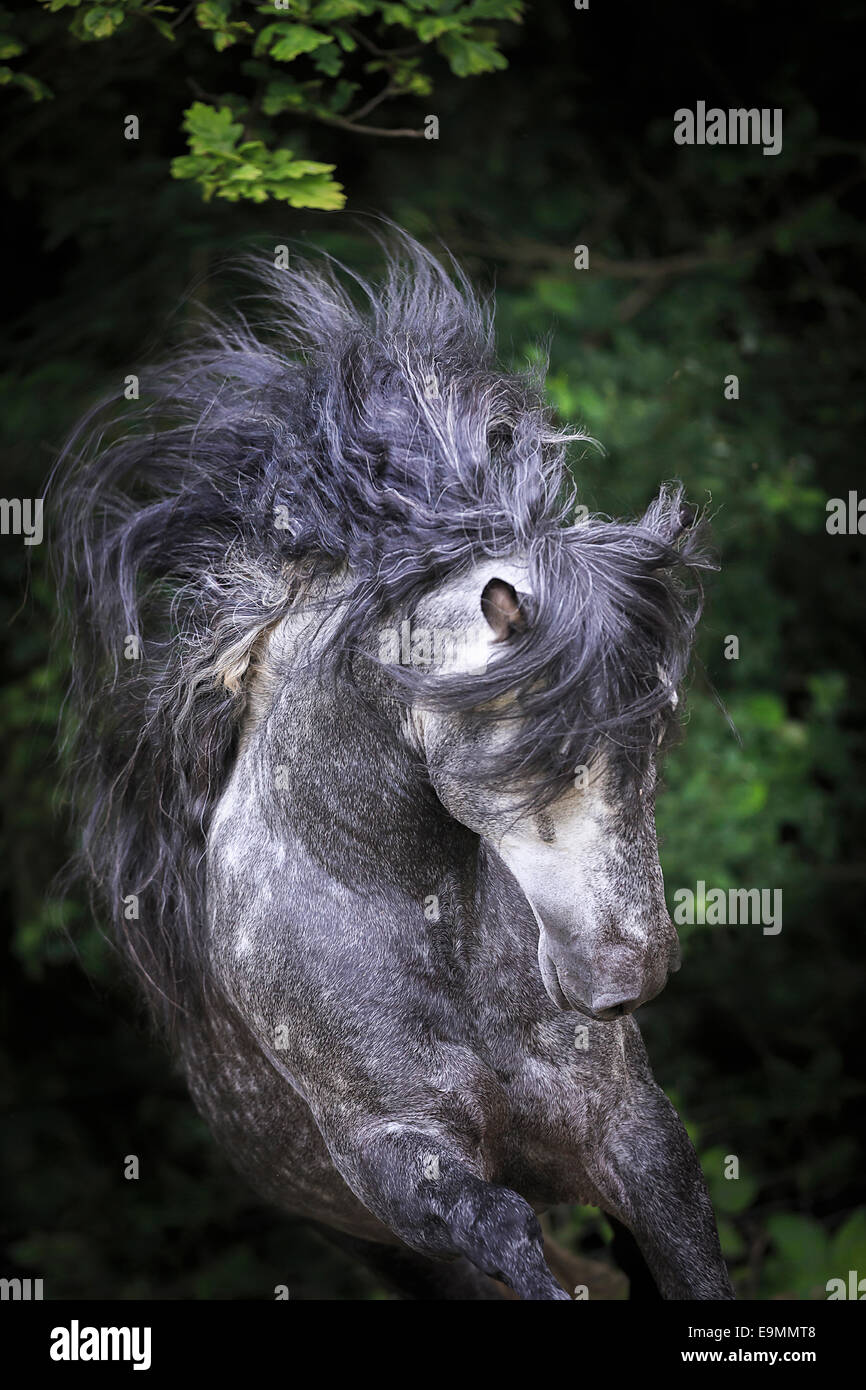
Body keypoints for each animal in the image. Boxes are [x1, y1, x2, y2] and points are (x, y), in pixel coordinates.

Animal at [55, 229, 734, 1301]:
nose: (629, 976)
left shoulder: (634, 1137)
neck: (418, 916)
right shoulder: (404, 1173)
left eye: (659, 734)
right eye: (529, 748)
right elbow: (510, 1242)